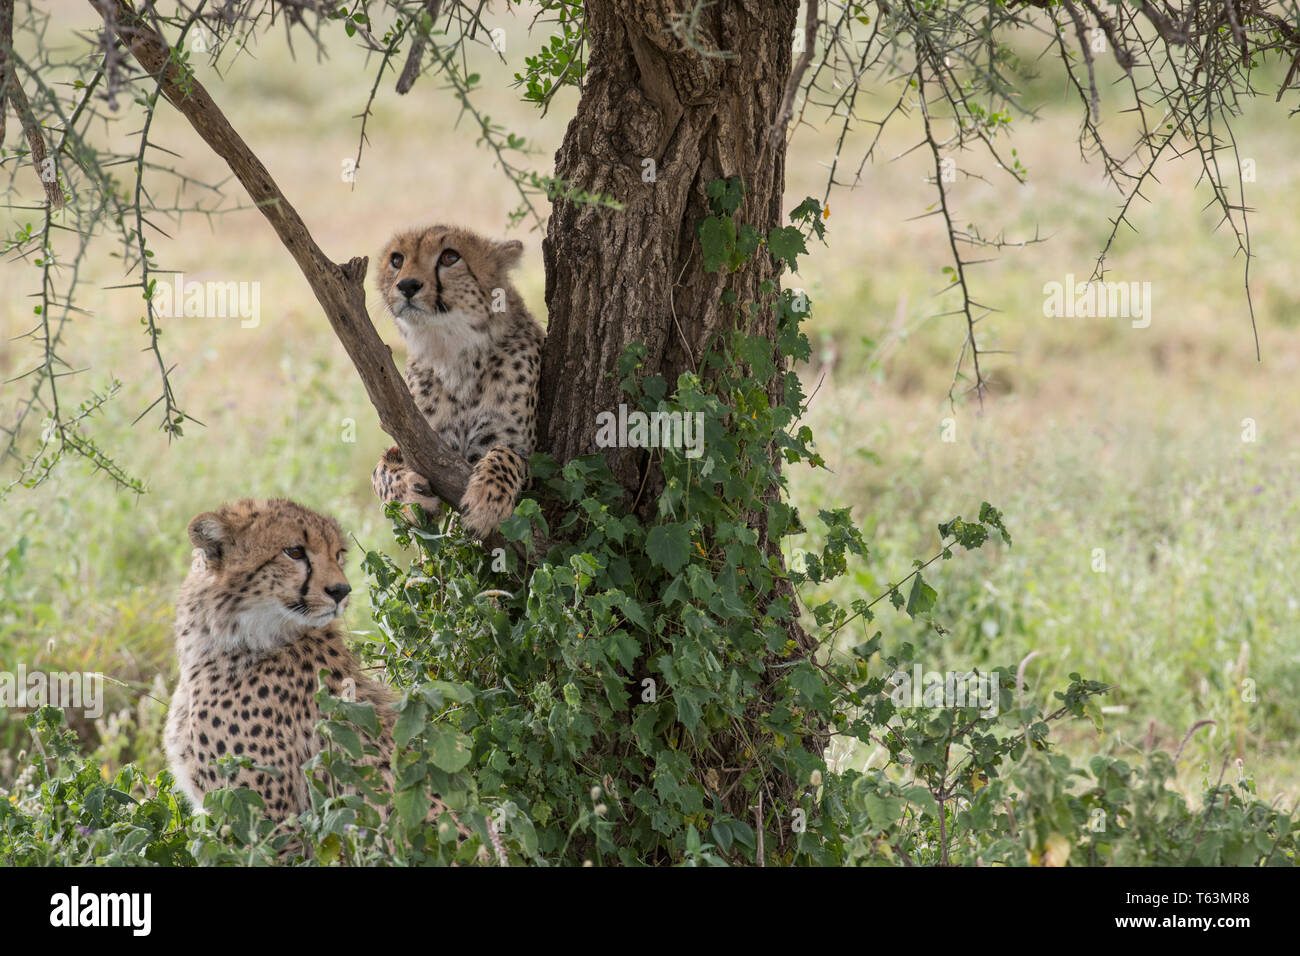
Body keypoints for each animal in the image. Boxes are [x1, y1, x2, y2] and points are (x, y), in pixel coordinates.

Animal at [369, 223, 544, 538]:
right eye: (397, 260)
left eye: (450, 257)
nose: (407, 285)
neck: (452, 354)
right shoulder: (418, 446)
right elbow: (380, 470)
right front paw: (408, 496)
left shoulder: (531, 462)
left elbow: (505, 454)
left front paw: (487, 502)